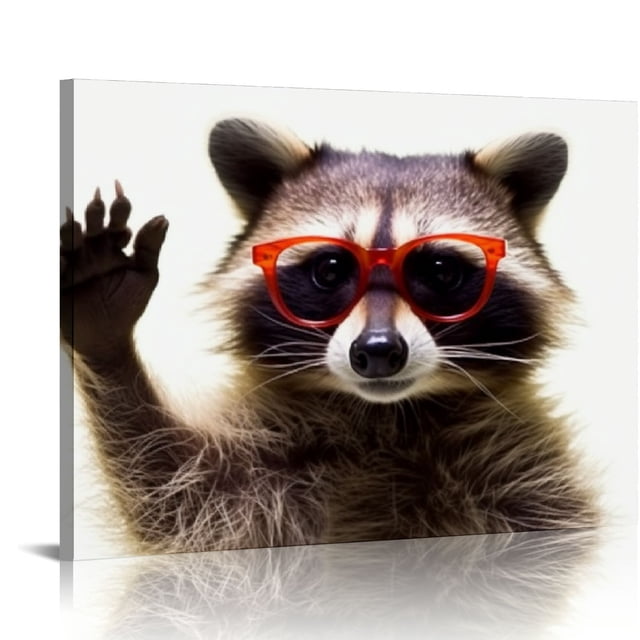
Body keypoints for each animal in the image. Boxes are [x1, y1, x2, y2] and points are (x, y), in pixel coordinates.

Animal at [60, 118, 599, 554]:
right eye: (331, 270)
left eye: (441, 271)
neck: (387, 416)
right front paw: (106, 344)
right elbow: (170, 494)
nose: (378, 352)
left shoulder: (530, 475)